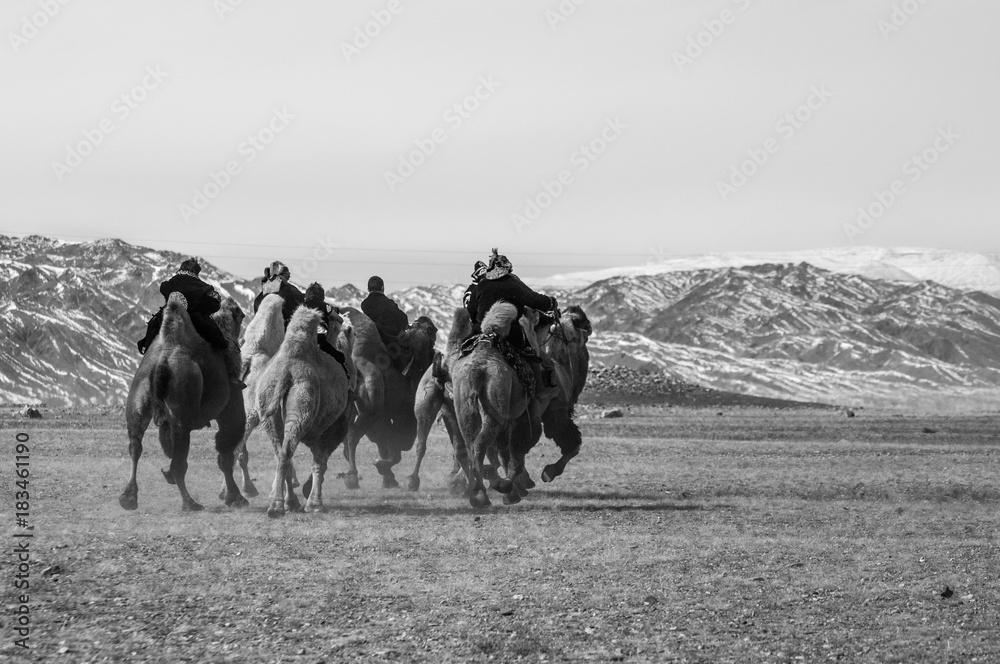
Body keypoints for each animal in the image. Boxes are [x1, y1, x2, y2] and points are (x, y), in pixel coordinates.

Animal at [119, 293, 247, 512]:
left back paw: (129, 498)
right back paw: (190, 502)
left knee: (135, 446)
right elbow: (225, 453)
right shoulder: (231, 406)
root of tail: (161, 362)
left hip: (138, 401)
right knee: (180, 461)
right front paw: (235, 497)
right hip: (181, 412)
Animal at [255, 305, 353, 517]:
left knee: (281, 452)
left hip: (269, 411)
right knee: (286, 452)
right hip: (302, 409)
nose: (350, 328)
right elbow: (320, 463)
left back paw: (288, 502)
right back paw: (278, 507)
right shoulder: (335, 427)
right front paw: (315, 504)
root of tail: (286, 372)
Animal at [340, 308, 437, 490]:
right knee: (353, 434)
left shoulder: (388, 416)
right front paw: (385, 469)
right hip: (370, 411)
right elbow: (399, 445)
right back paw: (352, 476)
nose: (435, 350)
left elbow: (387, 444)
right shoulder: (404, 417)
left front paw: (387, 476)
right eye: (432, 330)